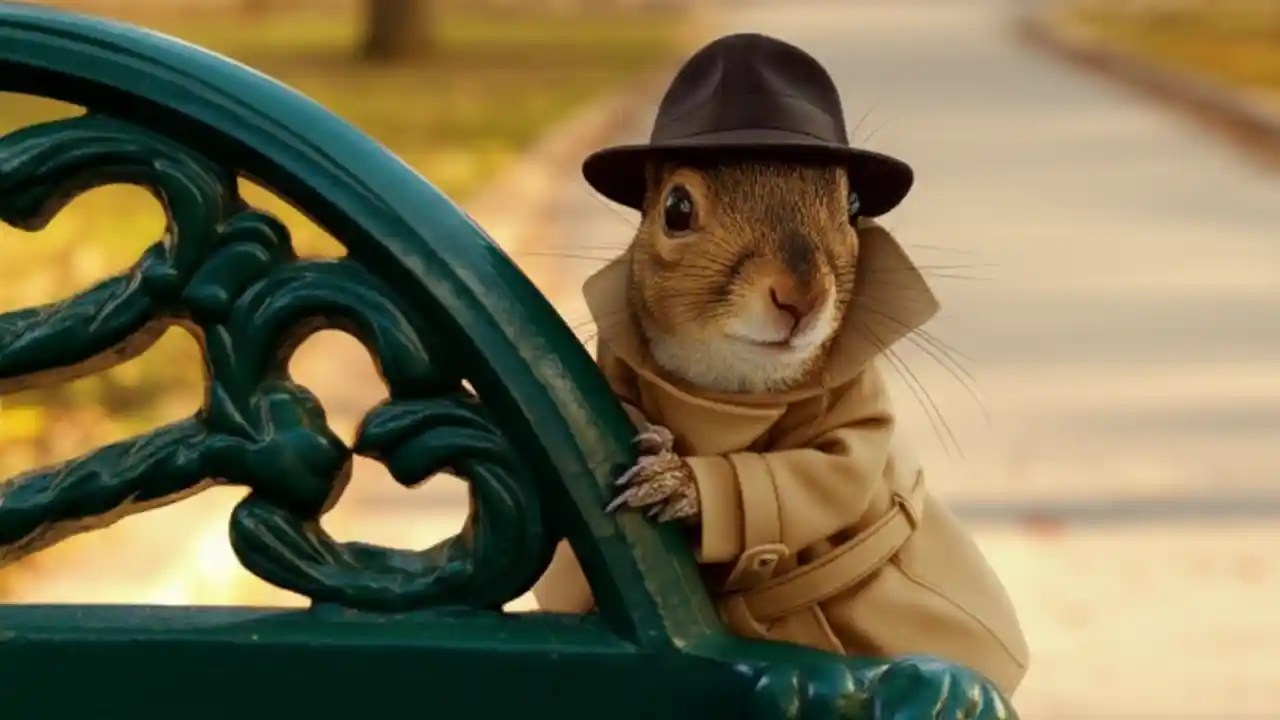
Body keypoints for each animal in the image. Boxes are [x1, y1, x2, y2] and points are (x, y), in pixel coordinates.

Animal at [532, 33, 1030, 699]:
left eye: (852, 204)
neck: (732, 392)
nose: (801, 297)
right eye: (676, 208)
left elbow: (823, 474)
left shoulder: (858, 412)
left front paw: (681, 482)